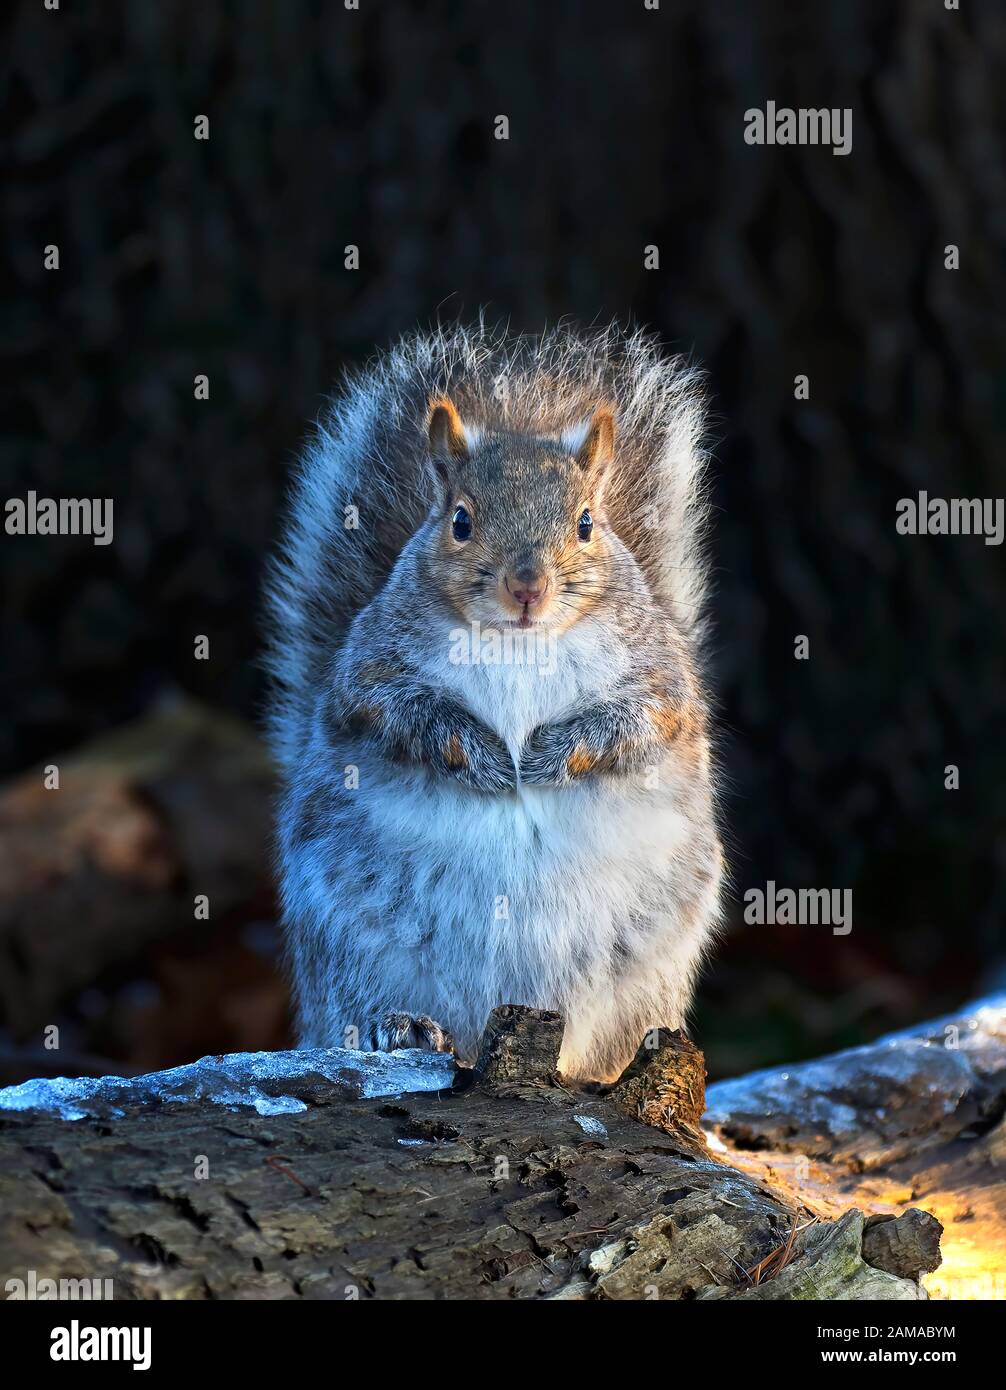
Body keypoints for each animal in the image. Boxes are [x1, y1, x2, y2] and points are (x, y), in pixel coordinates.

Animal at [266, 321, 723, 1082]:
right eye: (460, 521)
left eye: (587, 523)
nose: (527, 586)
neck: (519, 644)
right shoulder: (370, 670)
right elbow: (399, 711)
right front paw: (479, 755)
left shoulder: (663, 679)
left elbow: (641, 722)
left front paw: (549, 756)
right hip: (350, 943)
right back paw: (402, 1028)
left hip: (646, 970)